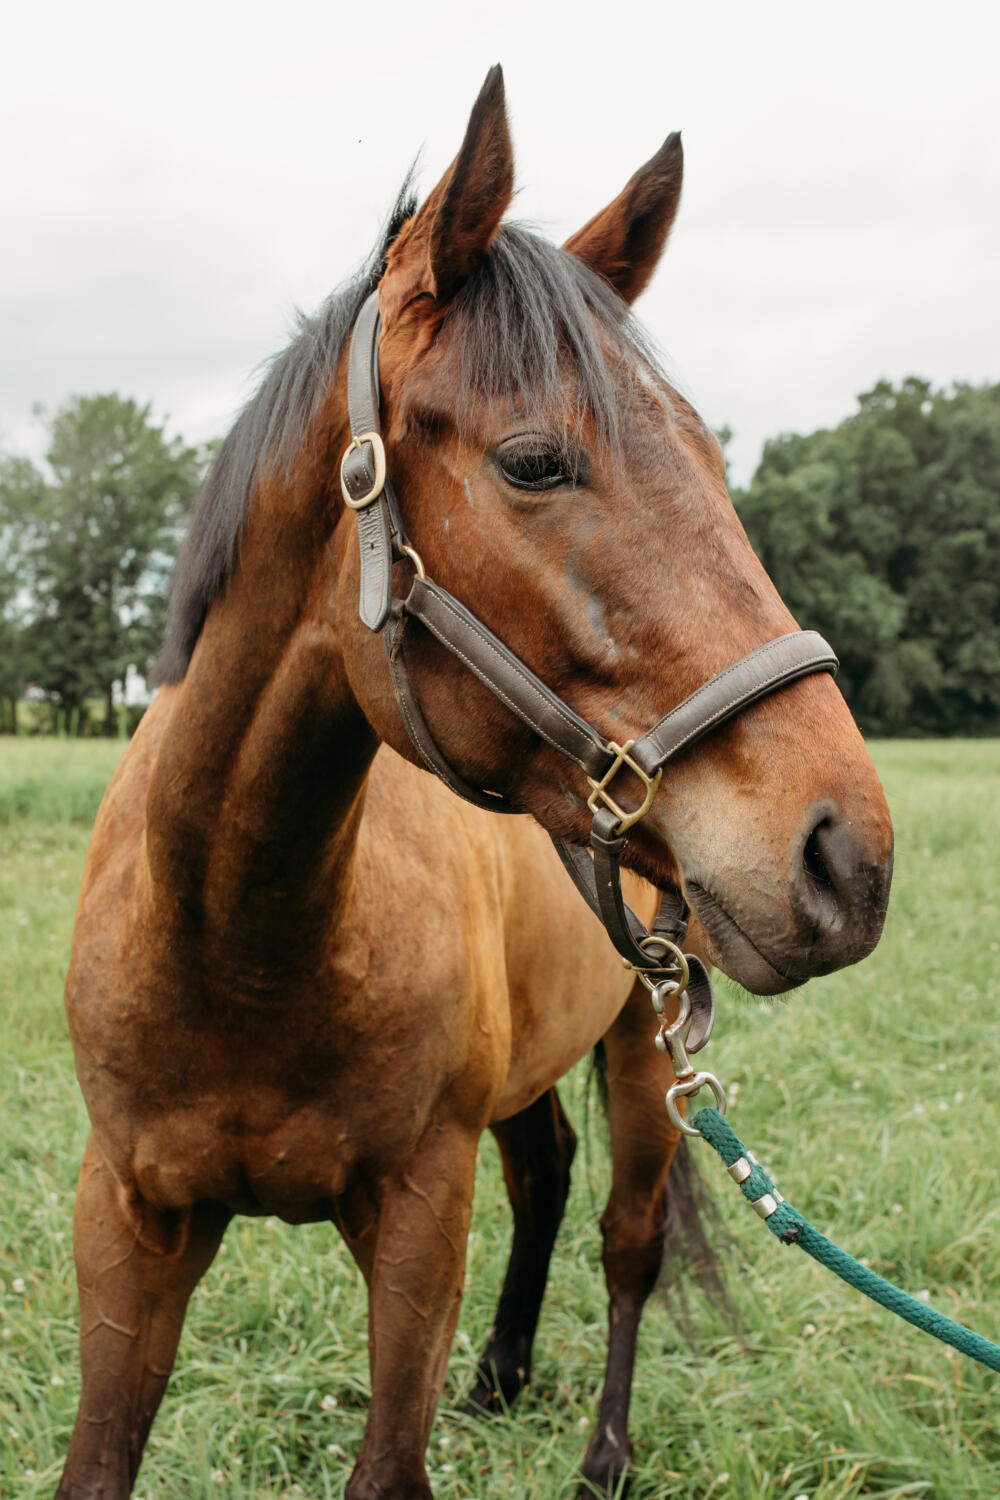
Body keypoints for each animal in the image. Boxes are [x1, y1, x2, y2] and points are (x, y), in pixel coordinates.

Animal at [55, 66, 893, 1499]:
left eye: (715, 461)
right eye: (534, 461)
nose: (845, 852)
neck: (237, 934)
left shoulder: (413, 1220)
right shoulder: (128, 1219)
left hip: (643, 1054)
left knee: (623, 1239)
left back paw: (602, 1454)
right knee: (545, 1172)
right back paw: (500, 1375)